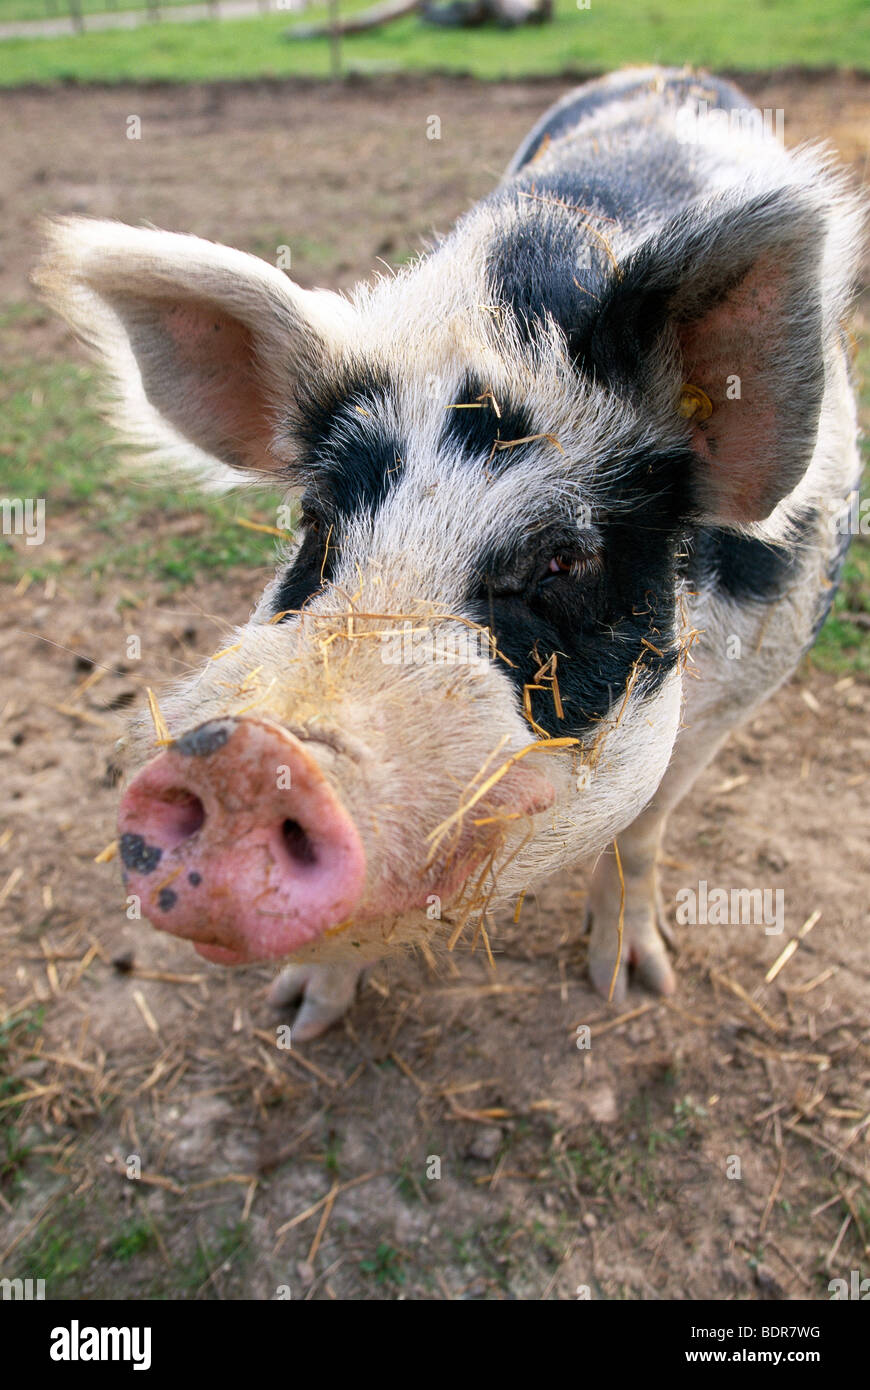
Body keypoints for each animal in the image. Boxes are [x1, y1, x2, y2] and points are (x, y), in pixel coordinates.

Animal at [35, 68, 864, 1040]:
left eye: (562, 561)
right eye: (318, 525)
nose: (247, 759)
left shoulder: (751, 677)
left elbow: (644, 828)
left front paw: (627, 988)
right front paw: (297, 1018)